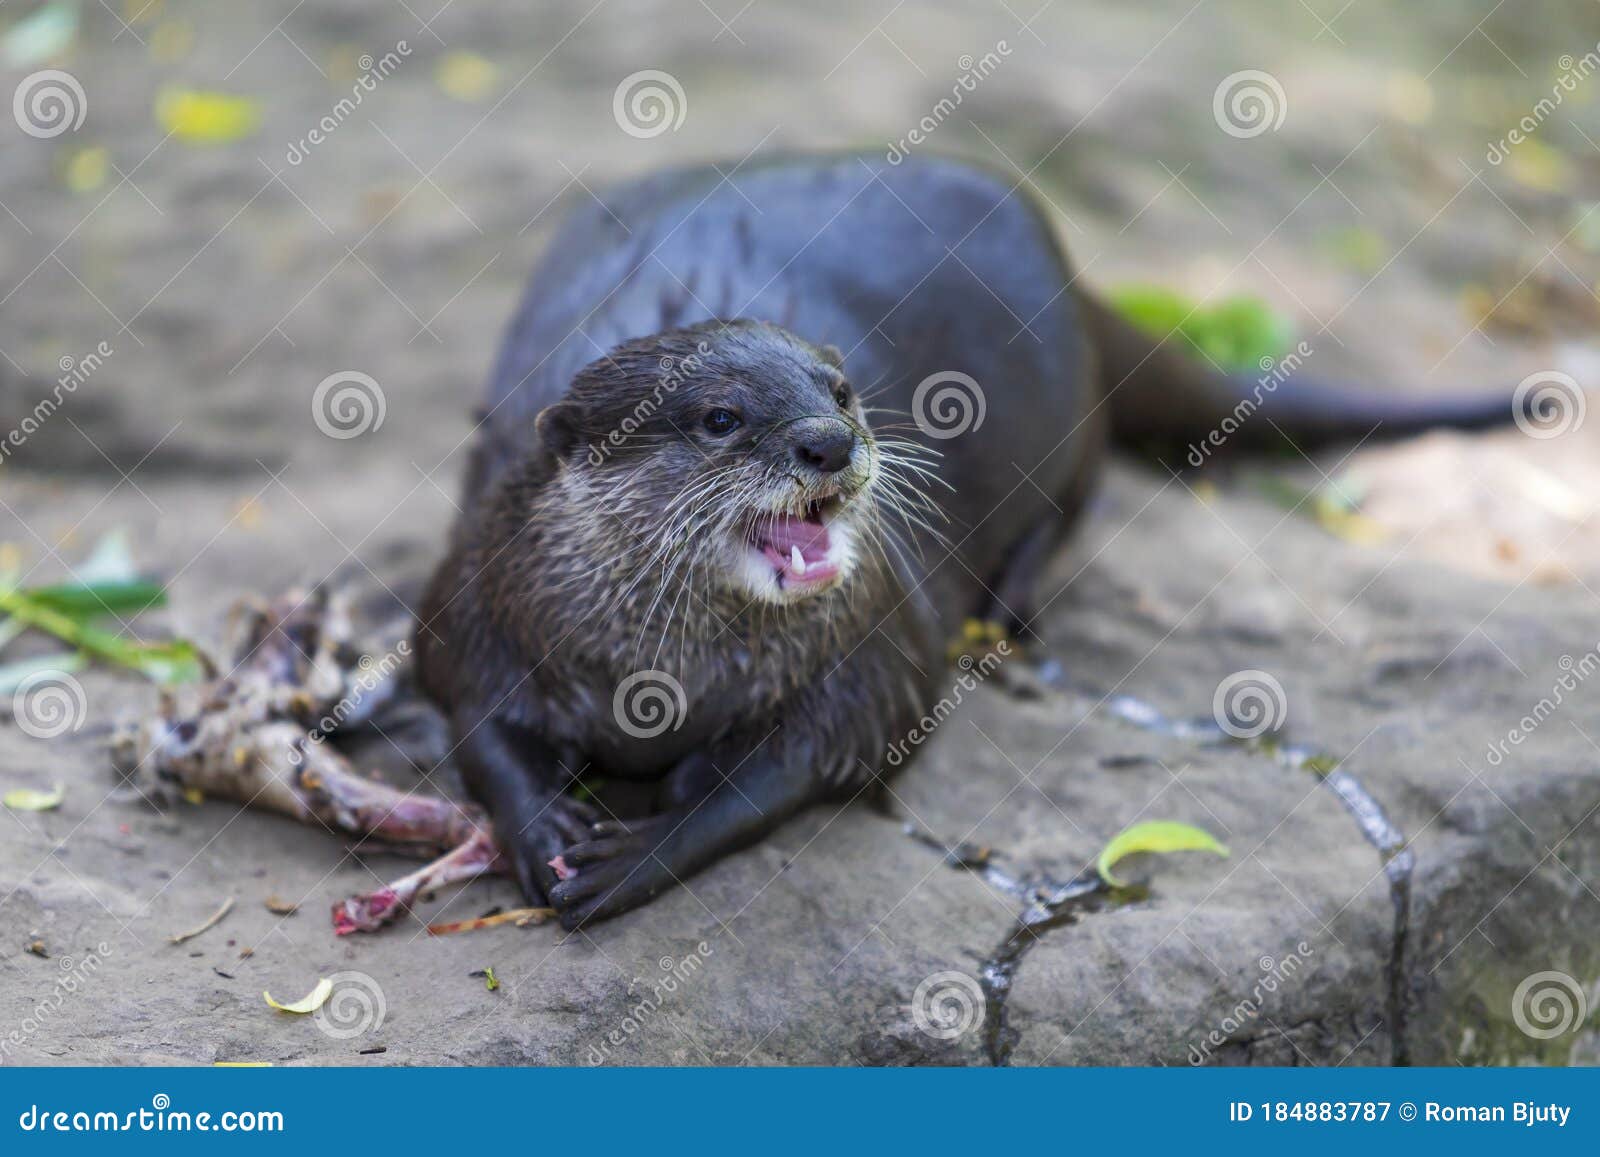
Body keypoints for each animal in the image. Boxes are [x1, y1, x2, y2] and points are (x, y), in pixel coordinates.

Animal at [417, 153, 1521, 928]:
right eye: (720, 416)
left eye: (839, 389)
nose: (830, 441)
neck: (667, 678)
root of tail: (1071, 266)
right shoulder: (476, 600)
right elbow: (474, 720)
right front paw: (543, 822)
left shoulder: (876, 645)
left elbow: (804, 760)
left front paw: (646, 840)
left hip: (1065, 427)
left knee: (1068, 505)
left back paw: (1009, 610)